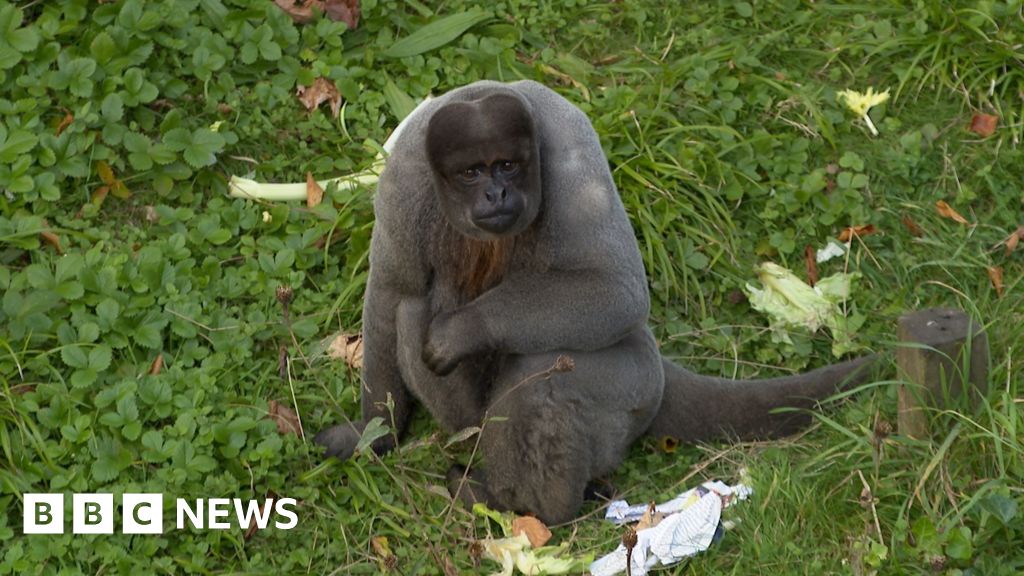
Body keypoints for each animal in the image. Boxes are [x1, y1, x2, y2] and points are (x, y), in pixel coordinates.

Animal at [314, 80, 876, 525]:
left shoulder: (570, 154)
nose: (496, 194)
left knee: (544, 373)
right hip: (470, 419)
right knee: (415, 311)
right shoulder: (403, 181)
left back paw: (526, 507)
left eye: (508, 166)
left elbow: (616, 291)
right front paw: (374, 432)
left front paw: (465, 329)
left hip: (635, 391)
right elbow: (393, 292)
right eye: (472, 173)